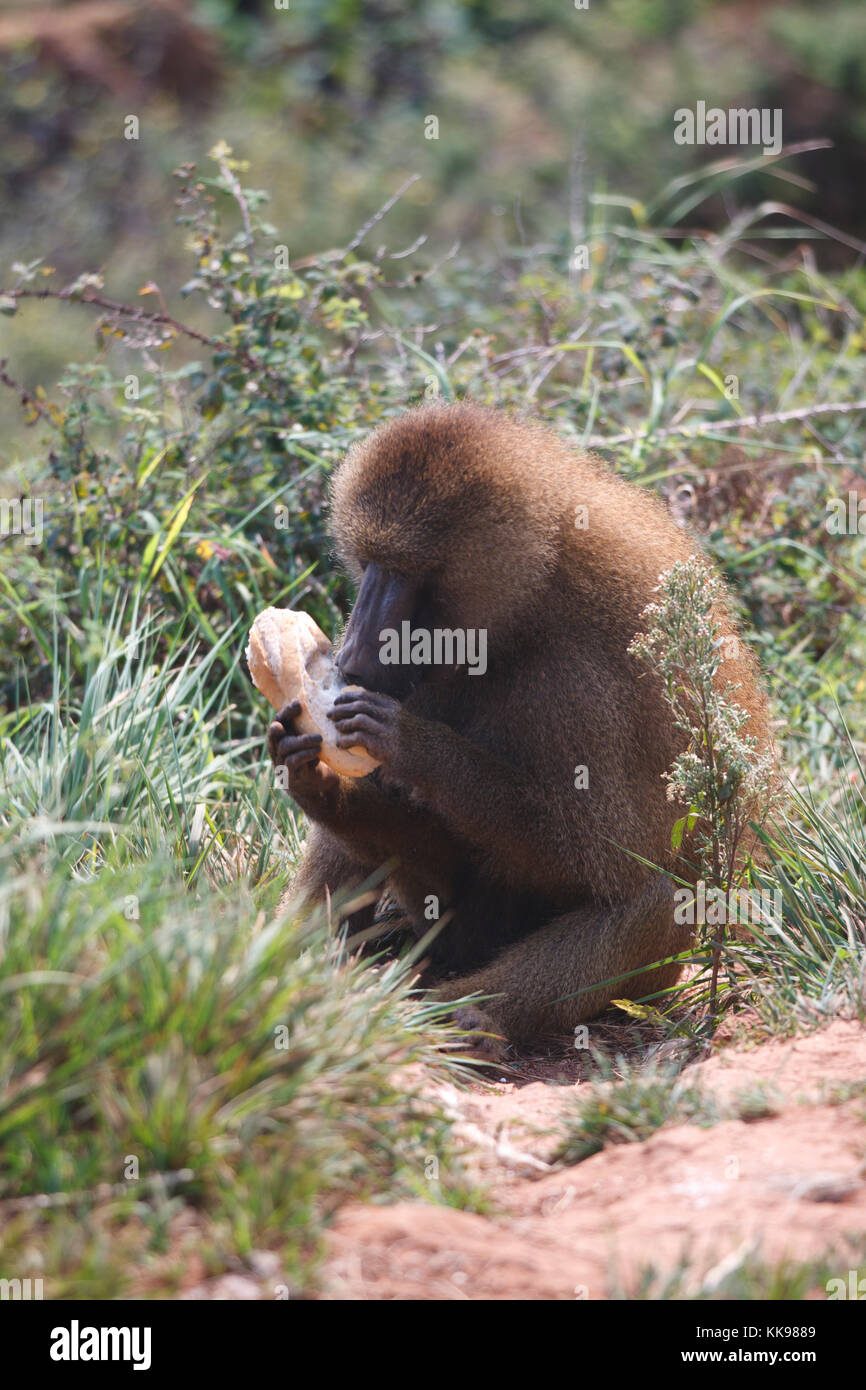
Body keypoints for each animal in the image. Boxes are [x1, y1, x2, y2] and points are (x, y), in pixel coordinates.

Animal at [266, 401, 772, 1048]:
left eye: (407, 573)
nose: (350, 656)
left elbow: (601, 856)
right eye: (369, 564)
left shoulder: (577, 687)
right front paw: (319, 782)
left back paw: (469, 1018)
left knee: (655, 896)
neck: (527, 606)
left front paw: (413, 746)